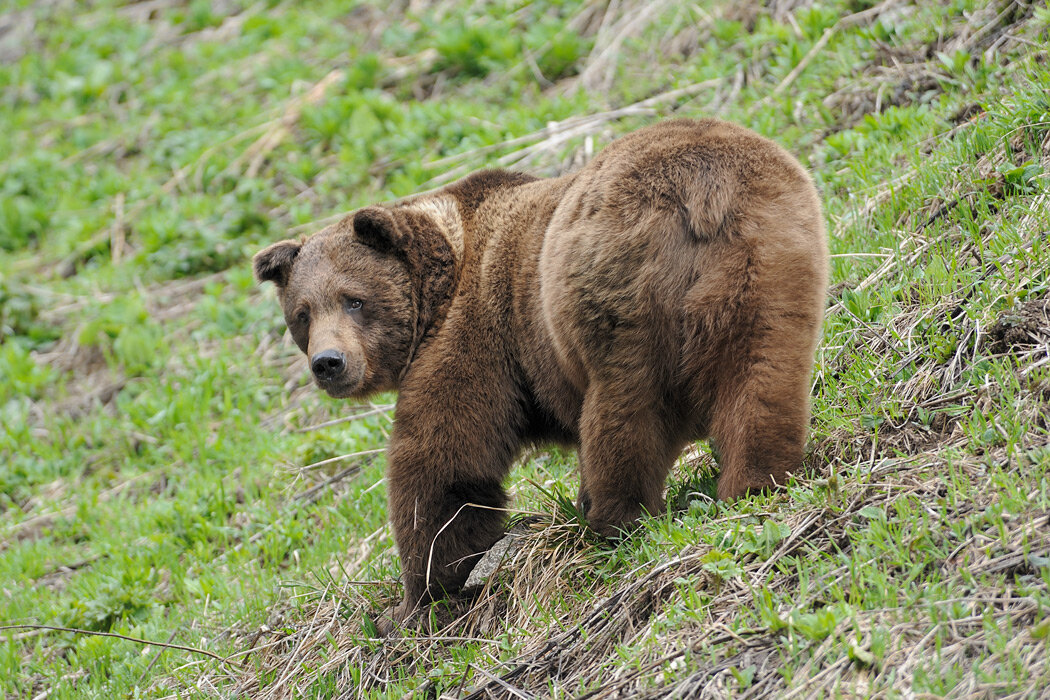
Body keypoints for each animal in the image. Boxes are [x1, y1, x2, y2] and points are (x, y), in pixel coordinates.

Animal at [254, 117, 827, 633]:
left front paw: (413, 603)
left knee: (624, 411)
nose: (329, 362)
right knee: (761, 381)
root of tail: (704, 195)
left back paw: (611, 520)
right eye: (303, 313)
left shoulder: (474, 338)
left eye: (354, 299)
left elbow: (443, 464)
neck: (441, 282)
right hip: (770, 264)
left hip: (612, 291)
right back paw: (758, 481)